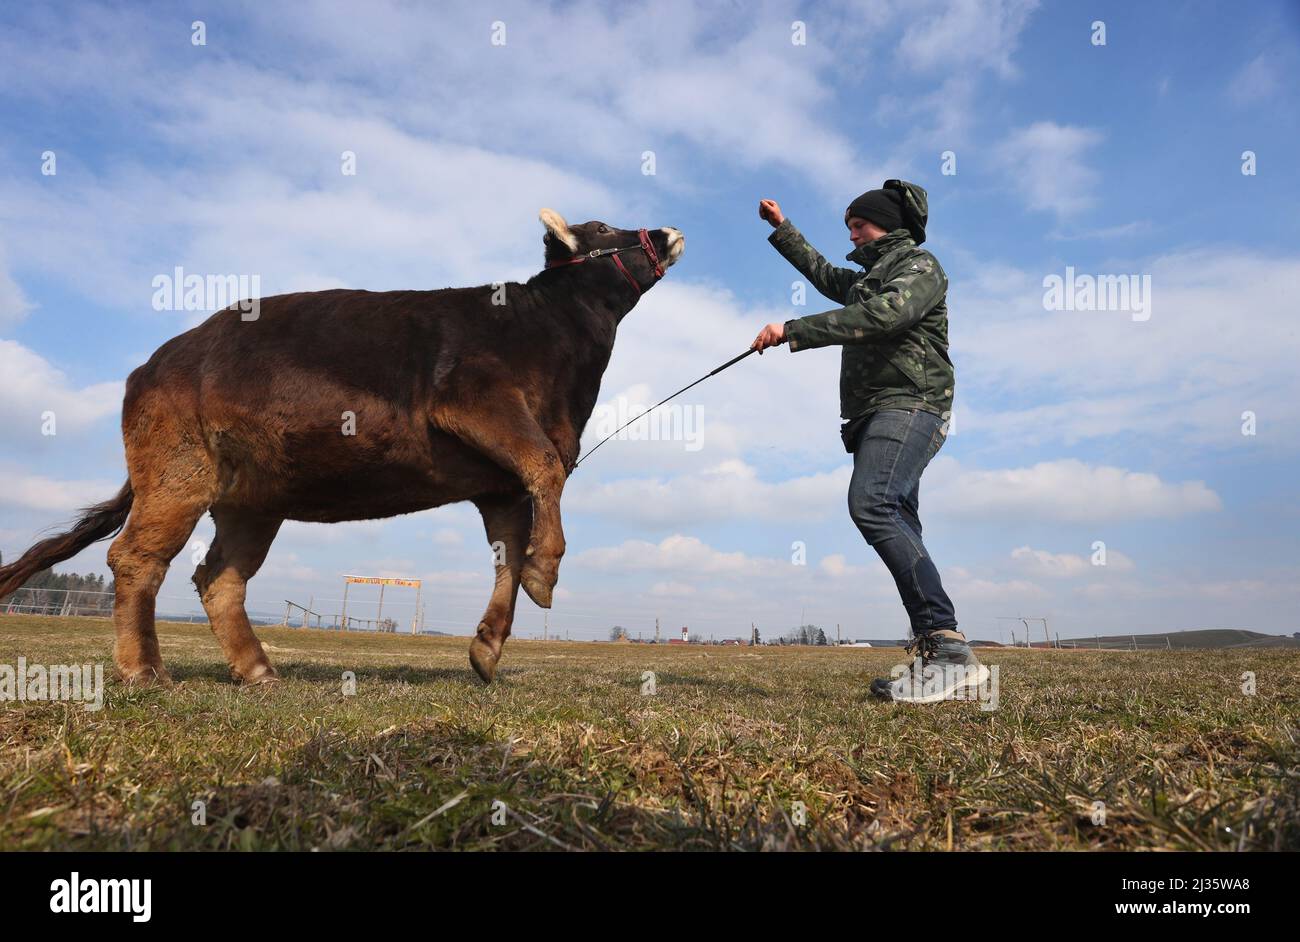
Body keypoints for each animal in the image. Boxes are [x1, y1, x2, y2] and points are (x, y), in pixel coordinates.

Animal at [0, 209, 684, 685]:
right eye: (603, 228)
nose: (667, 229)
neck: (554, 342)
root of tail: (155, 363)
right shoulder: (476, 400)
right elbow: (545, 473)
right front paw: (548, 572)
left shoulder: (498, 484)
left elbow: (508, 557)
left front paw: (488, 646)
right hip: (178, 470)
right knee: (136, 558)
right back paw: (145, 669)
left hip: (251, 499)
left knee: (219, 577)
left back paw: (259, 671)